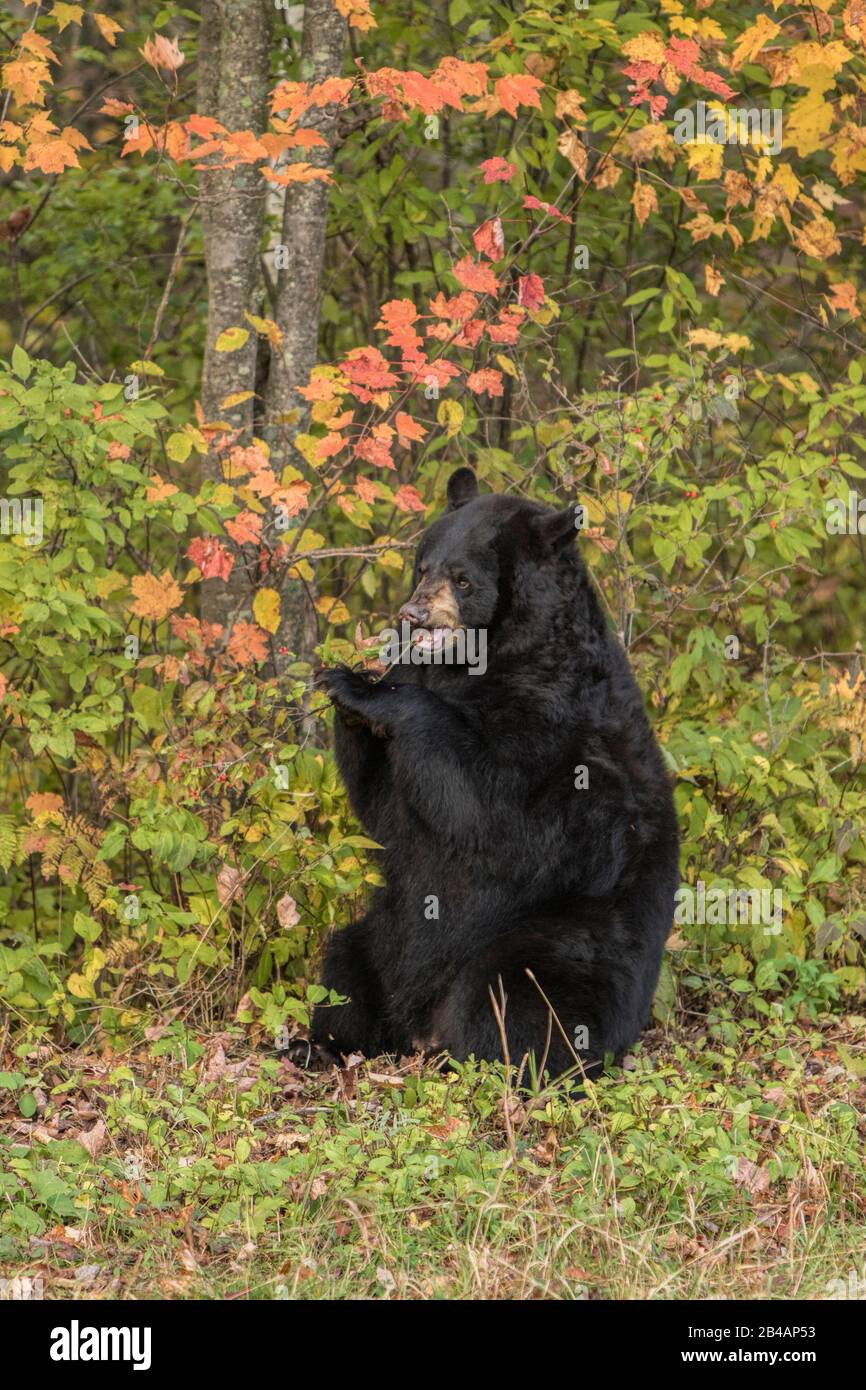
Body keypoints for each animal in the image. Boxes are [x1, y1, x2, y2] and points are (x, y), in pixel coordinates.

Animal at [312, 467, 679, 1079]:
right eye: (423, 566)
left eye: (463, 579)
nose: (412, 615)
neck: (480, 664)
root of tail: (418, 1023)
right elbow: (385, 807)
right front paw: (346, 681)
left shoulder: (554, 723)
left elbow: (487, 808)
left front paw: (370, 691)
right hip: (385, 930)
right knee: (343, 967)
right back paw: (321, 1045)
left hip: (559, 939)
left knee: (512, 993)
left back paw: (481, 1059)